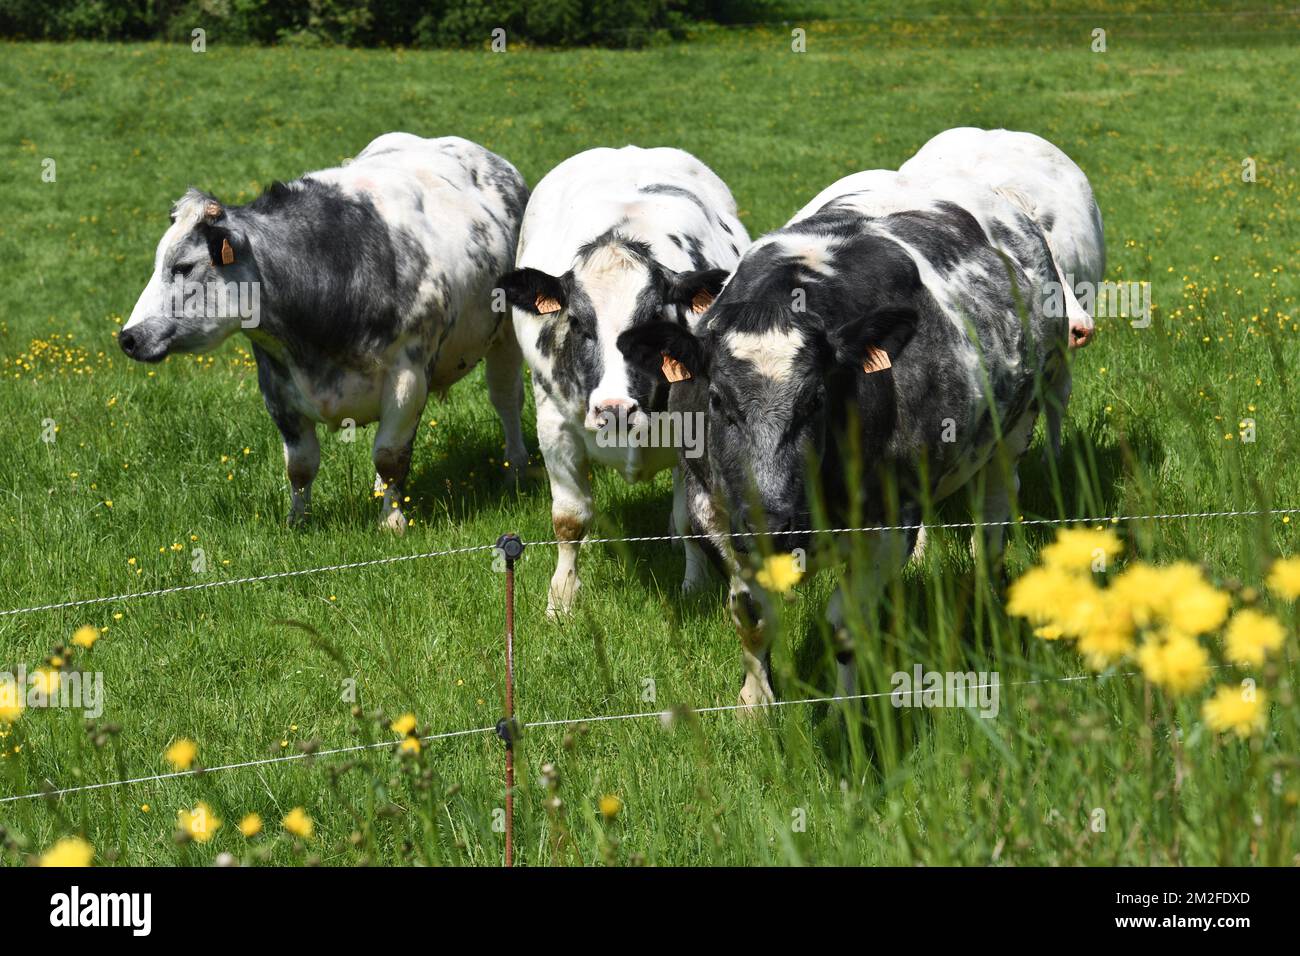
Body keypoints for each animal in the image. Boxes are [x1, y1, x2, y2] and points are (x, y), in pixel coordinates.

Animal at [120, 133, 530, 531]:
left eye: (184, 266)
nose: (128, 337)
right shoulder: (276, 386)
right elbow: (301, 466)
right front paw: (298, 522)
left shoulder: (408, 376)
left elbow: (389, 455)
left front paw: (392, 521)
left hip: (506, 334)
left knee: (506, 399)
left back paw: (516, 468)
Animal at [498, 146, 750, 615]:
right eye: (577, 322)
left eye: (652, 322)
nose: (615, 410)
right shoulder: (553, 424)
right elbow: (569, 517)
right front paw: (561, 599)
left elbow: (691, 518)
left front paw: (694, 584)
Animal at [617, 170, 1071, 708]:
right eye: (718, 399)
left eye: (816, 399)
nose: (771, 523)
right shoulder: (718, 514)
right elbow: (751, 617)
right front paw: (755, 702)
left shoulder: (887, 525)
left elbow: (844, 627)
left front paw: (844, 711)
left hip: (1013, 431)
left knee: (993, 520)